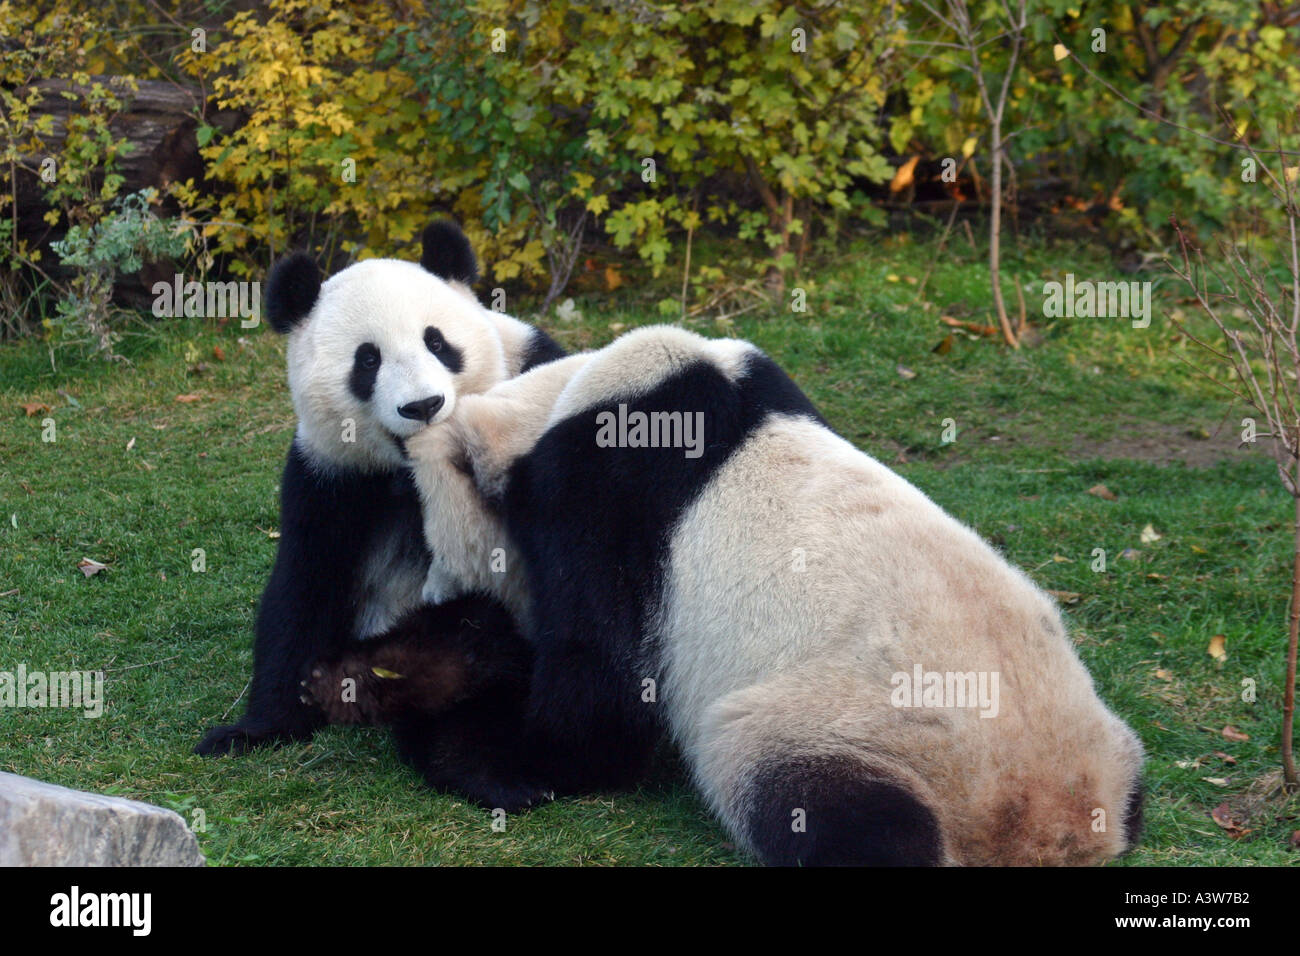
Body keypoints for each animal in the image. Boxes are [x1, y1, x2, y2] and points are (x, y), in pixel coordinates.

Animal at [194, 220, 564, 757]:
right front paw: (255, 728)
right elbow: (305, 585)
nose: (423, 406)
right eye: (367, 360)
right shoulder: (330, 474)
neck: (410, 469)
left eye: (437, 342)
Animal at [386, 323, 1145, 866]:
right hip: (1107, 742)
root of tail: (1045, 826)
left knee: (848, 821)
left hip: (842, 735)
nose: (434, 598)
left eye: (425, 541)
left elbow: (603, 694)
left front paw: (476, 750)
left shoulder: (601, 497)